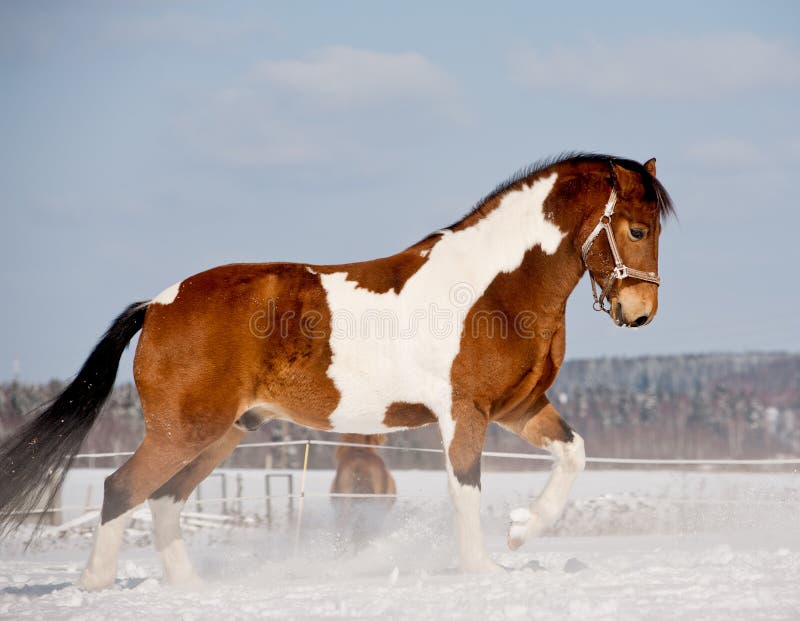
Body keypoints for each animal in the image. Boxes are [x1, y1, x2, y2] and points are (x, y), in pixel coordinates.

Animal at [0, 152, 673, 589]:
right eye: (637, 228)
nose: (639, 312)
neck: (493, 290)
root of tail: (159, 304)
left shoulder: (518, 408)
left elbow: (574, 454)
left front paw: (518, 533)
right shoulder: (465, 414)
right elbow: (464, 489)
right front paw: (482, 570)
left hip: (221, 434)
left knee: (163, 499)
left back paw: (191, 590)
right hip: (182, 430)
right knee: (122, 489)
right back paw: (95, 585)